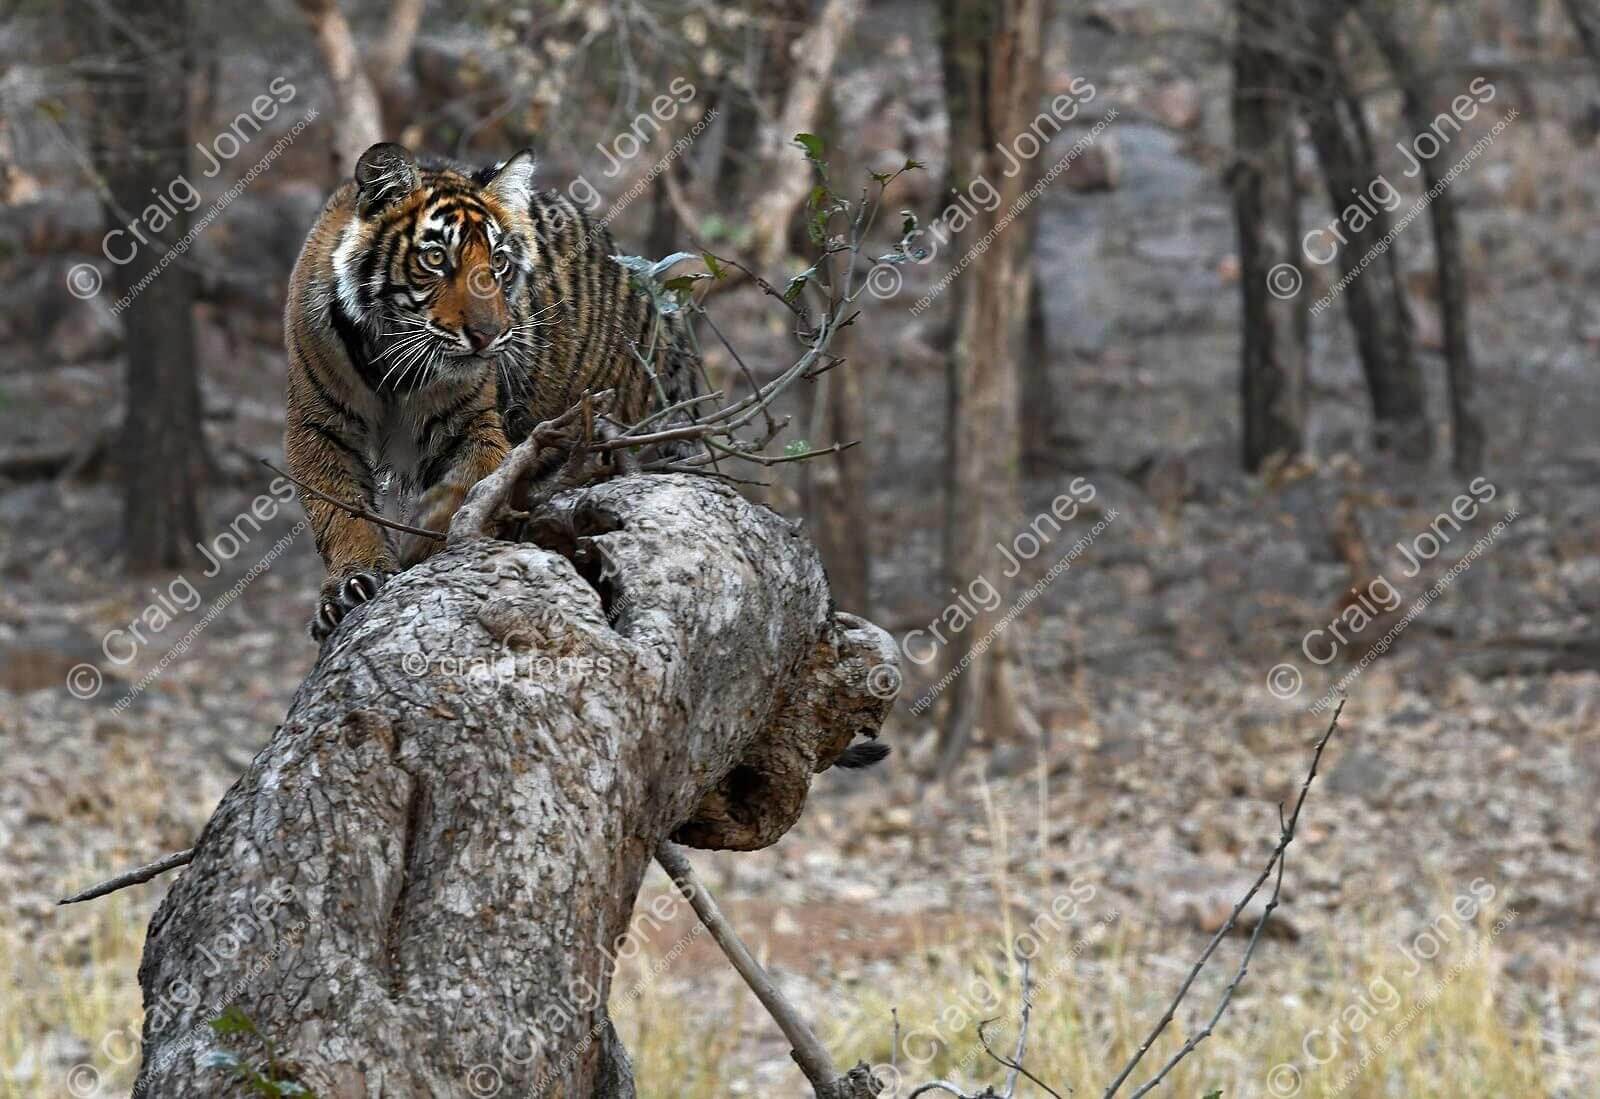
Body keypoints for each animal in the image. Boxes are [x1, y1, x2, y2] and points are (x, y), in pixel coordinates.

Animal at [284, 142, 697, 641]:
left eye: (498, 262)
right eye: (436, 259)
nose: (488, 335)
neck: (393, 361)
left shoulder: (471, 424)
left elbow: (475, 486)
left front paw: (433, 535)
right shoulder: (319, 426)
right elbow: (341, 512)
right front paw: (352, 583)